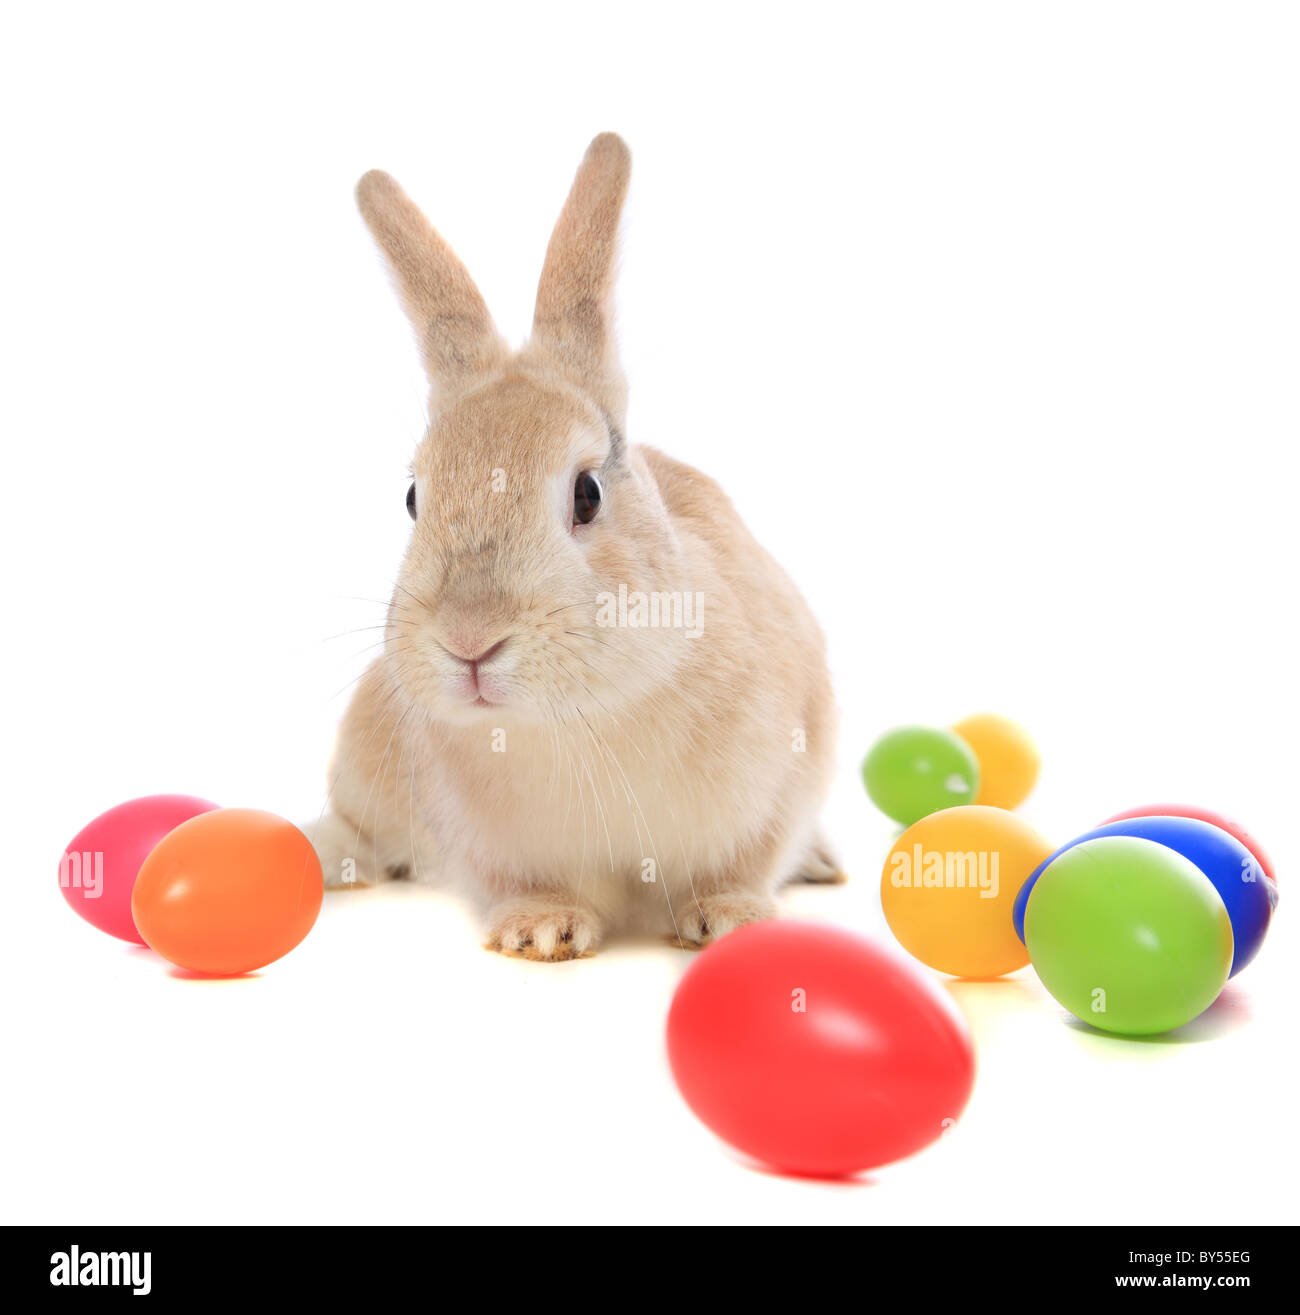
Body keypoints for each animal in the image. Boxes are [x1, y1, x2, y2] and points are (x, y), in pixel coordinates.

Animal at [307, 133, 841, 960]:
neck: (580, 715)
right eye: (414, 498)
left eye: (587, 493)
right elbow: (530, 884)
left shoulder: (786, 775)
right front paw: (540, 929)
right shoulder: (490, 845)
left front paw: (729, 917)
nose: (469, 640)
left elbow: (745, 861)